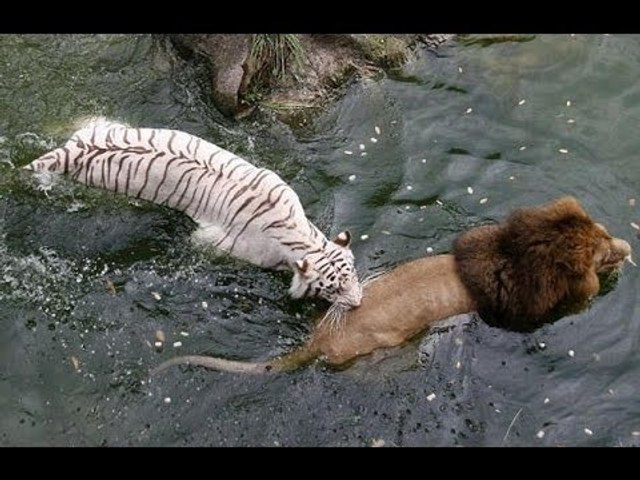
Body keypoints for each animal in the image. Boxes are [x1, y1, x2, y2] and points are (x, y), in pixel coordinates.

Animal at [23, 118, 363, 310]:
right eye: (333, 288)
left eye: (353, 275)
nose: (358, 303)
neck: (300, 236)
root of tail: (71, 150)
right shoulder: (218, 243)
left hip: (99, 128)